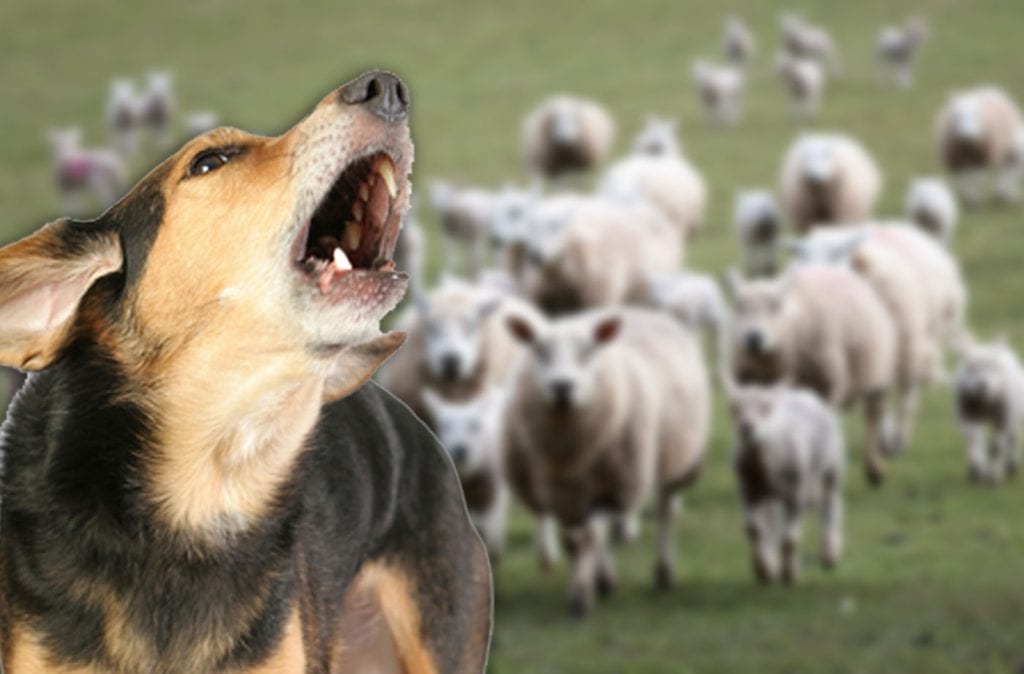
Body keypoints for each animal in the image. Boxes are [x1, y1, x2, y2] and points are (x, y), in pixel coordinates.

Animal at [502, 307, 709, 615]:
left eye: (588, 352)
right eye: (539, 350)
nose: (562, 387)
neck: (569, 451)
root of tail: (637, 310)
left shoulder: (610, 487)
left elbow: (590, 536)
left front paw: (580, 598)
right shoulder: (559, 492)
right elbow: (573, 542)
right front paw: (599, 580)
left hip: (676, 459)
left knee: (665, 512)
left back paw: (663, 572)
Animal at [727, 265, 898, 485]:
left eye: (776, 305)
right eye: (739, 306)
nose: (753, 338)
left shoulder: (829, 386)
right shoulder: (748, 385)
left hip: (878, 376)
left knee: (873, 417)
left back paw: (874, 468)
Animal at [728, 383, 845, 584]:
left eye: (766, 409)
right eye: (734, 409)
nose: (747, 428)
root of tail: (804, 393)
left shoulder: (796, 495)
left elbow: (790, 539)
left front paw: (790, 573)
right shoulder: (748, 491)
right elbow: (753, 529)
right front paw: (764, 569)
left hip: (831, 467)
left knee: (830, 504)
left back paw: (829, 553)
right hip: (771, 493)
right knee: (772, 520)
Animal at [954, 336, 1024, 484]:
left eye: (993, 367)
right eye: (971, 367)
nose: (982, 385)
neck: (984, 402)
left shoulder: (1003, 417)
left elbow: (996, 447)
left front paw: (993, 477)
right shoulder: (968, 415)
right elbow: (973, 439)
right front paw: (976, 471)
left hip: (1012, 413)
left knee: (1012, 437)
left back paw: (1011, 465)